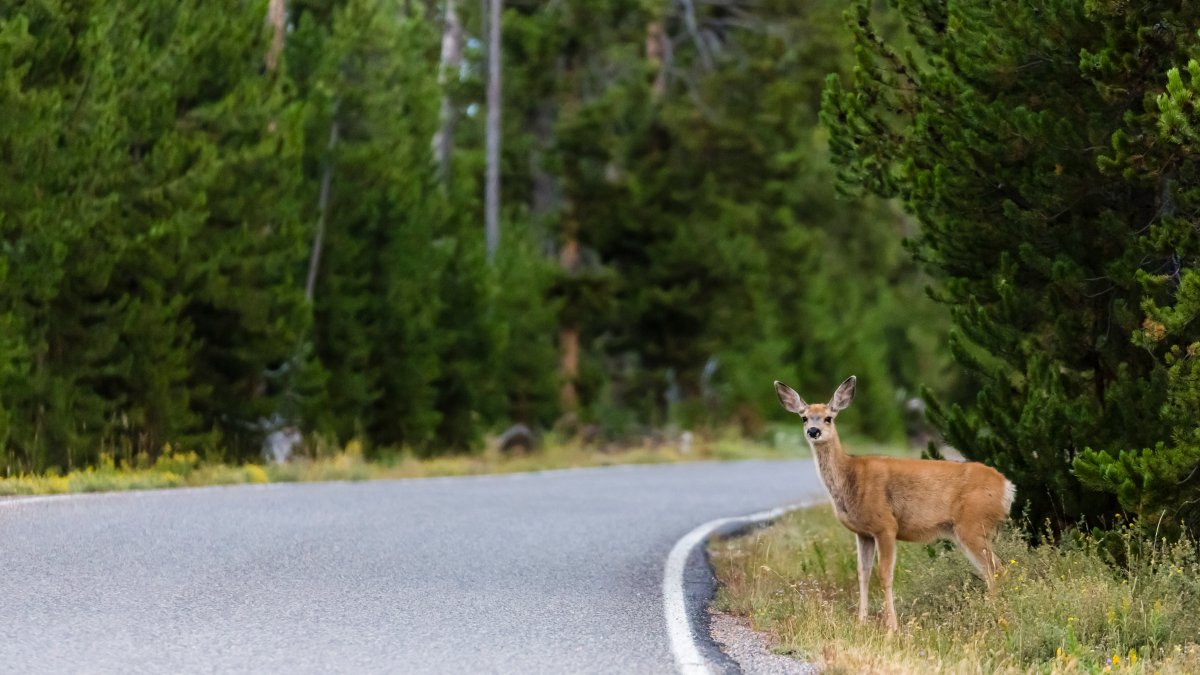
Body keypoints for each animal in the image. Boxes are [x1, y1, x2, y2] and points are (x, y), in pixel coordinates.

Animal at [773, 376, 1015, 632]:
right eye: (804, 417)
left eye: (828, 417)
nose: (813, 431)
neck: (850, 477)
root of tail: (1007, 487)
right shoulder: (863, 533)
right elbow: (862, 574)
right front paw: (861, 622)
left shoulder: (886, 525)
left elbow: (885, 575)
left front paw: (892, 627)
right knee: (993, 569)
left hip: (973, 524)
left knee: (996, 568)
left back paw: (994, 615)